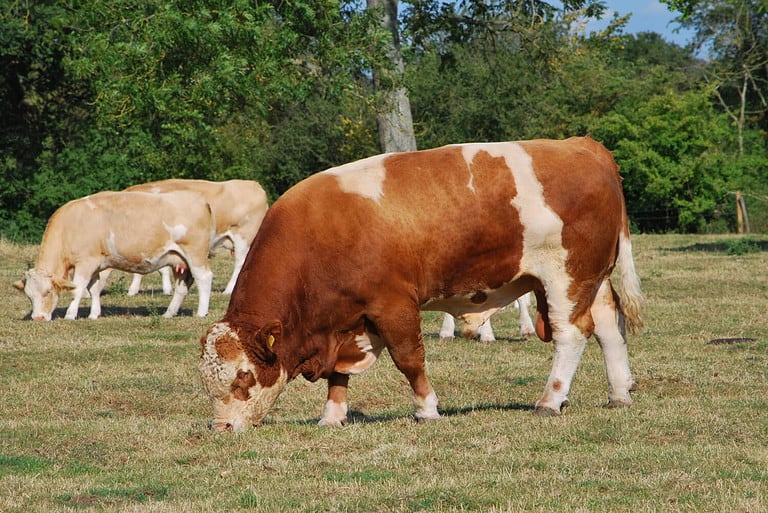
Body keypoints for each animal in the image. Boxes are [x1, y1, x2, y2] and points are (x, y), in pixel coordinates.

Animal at [14, 190, 215, 320]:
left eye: (48, 292)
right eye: (29, 296)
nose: (38, 318)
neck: (70, 226)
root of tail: (200, 200)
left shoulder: (85, 262)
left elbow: (78, 289)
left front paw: (70, 315)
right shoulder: (96, 264)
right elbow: (94, 289)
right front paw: (94, 314)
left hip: (195, 254)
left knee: (204, 278)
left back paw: (201, 312)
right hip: (179, 261)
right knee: (182, 287)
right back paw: (169, 313)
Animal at [122, 179, 268, 296]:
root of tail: (254, 184)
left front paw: (132, 291)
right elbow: (161, 269)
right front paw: (167, 289)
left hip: (243, 237)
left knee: (240, 262)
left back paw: (229, 290)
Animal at [198, 136, 643, 432]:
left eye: (243, 377)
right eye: (207, 384)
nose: (222, 428)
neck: (321, 234)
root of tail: (584, 145)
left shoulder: (392, 303)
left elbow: (409, 359)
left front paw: (426, 409)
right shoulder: (346, 319)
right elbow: (338, 375)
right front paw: (332, 416)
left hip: (565, 276)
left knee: (572, 333)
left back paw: (550, 399)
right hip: (591, 279)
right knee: (608, 326)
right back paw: (619, 393)